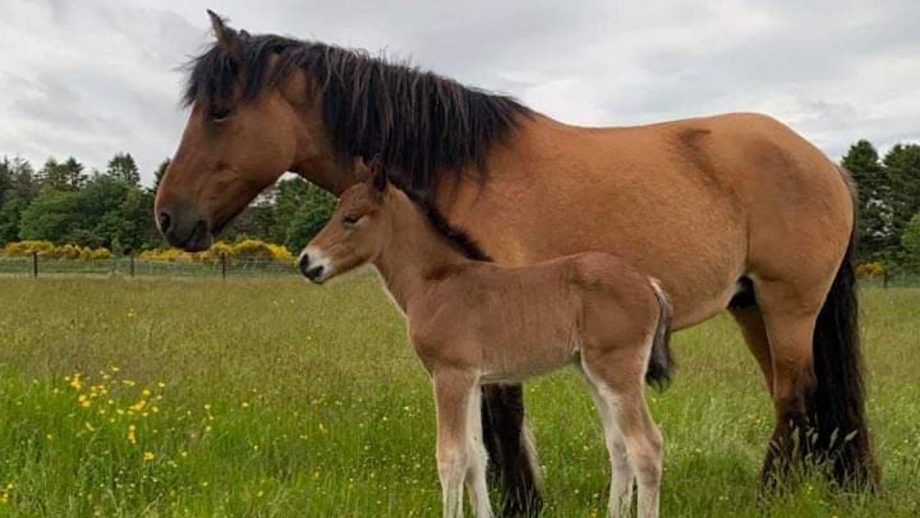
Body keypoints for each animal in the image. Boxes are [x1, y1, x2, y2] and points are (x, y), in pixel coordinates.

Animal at [300, 162, 673, 518]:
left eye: (351, 218)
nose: (306, 261)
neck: (437, 283)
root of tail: (648, 283)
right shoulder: (473, 381)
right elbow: (476, 457)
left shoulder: (450, 376)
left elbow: (451, 458)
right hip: (591, 373)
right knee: (619, 446)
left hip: (617, 372)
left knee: (646, 446)